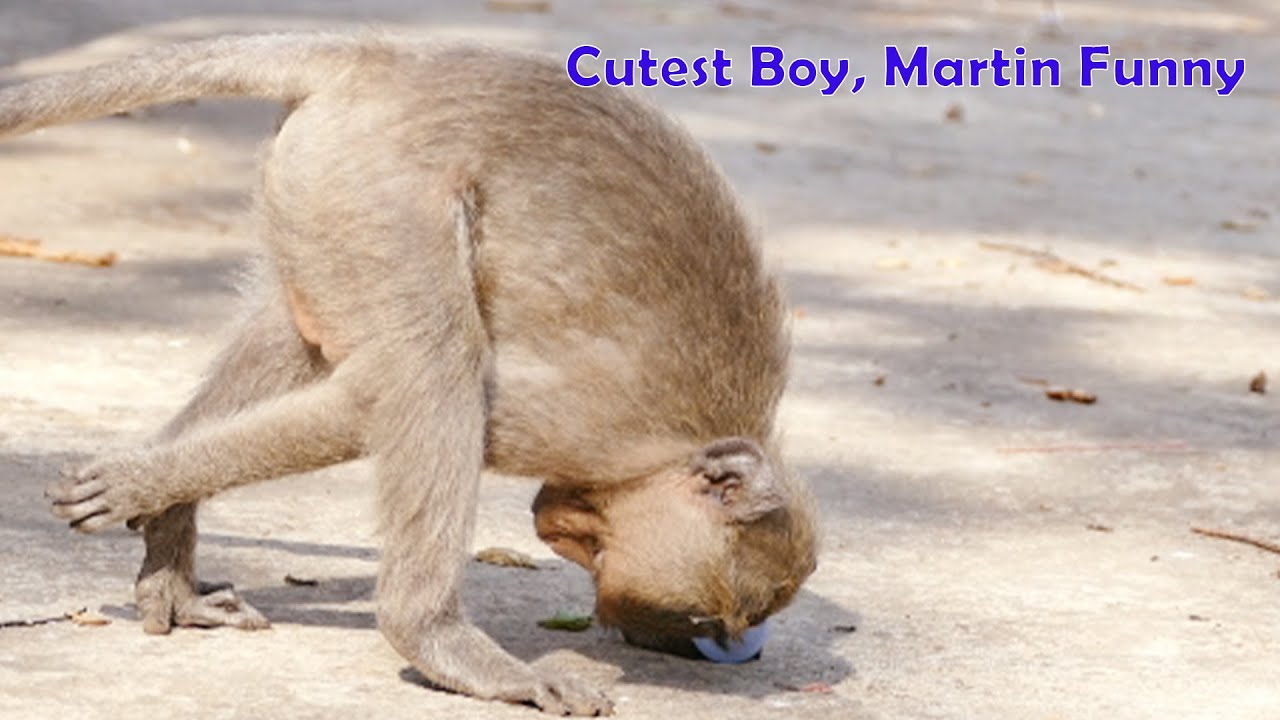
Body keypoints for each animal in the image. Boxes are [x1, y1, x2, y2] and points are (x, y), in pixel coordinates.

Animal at [0, 32, 818, 715]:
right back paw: (433, 637)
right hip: (374, 189)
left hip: (322, 193)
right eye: (704, 616)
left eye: (593, 554)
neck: (677, 451)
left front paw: (151, 493)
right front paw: (141, 481)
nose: (567, 538)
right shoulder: (581, 425)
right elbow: (382, 400)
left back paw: (170, 550)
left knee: (304, 332)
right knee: (435, 365)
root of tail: (383, 61)